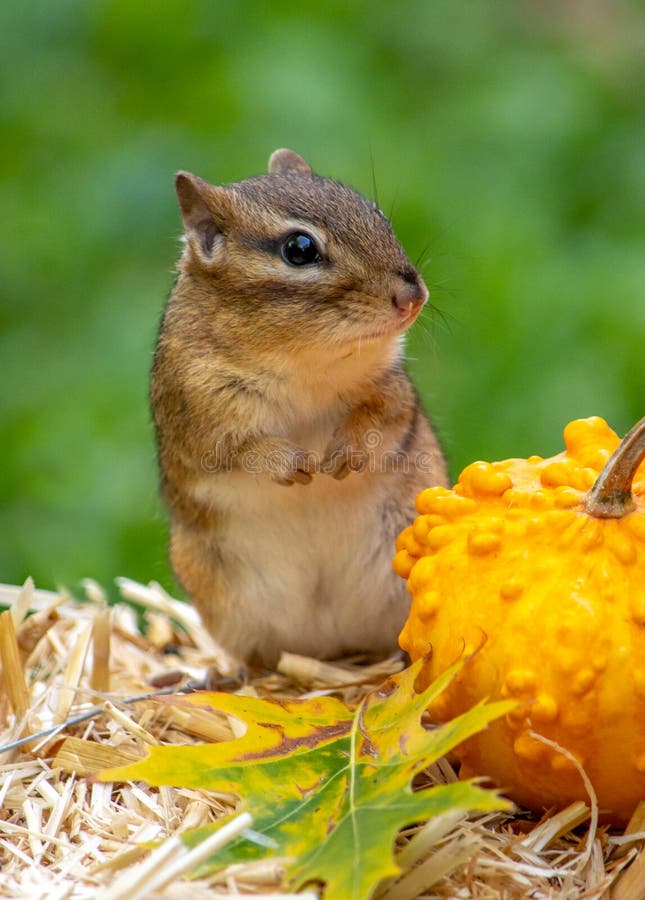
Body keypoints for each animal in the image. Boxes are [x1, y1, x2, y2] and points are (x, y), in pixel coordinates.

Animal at [151, 148, 448, 669]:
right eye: (300, 249)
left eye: (379, 215)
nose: (414, 296)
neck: (304, 361)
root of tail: (331, 648)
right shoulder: (198, 411)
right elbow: (235, 451)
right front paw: (290, 462)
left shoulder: (392, 390)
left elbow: (382, 418)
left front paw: (347, 451)